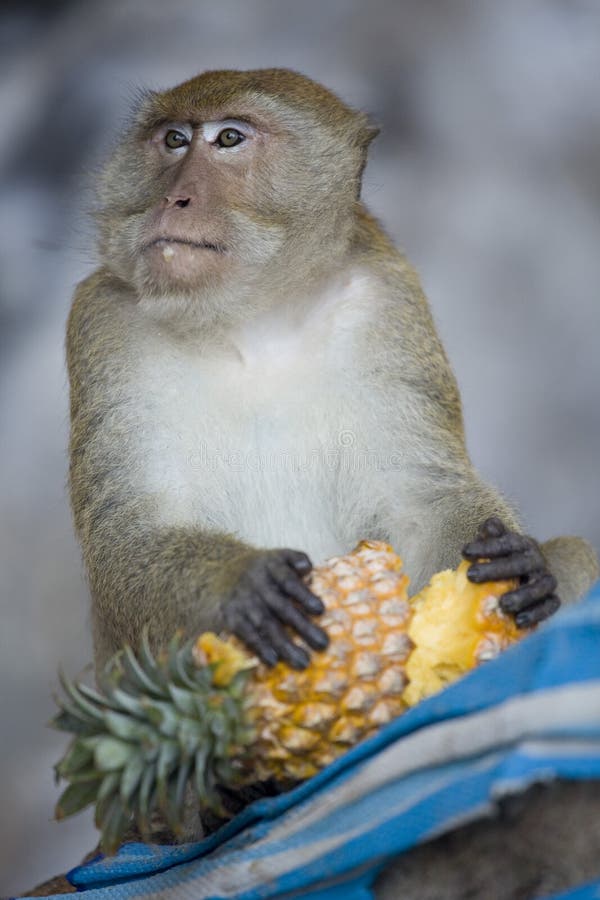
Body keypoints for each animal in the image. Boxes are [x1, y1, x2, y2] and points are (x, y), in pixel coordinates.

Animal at [67, 67, 598, 688]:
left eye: (229, 138)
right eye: (174, 139)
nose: (174, 198)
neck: (254, 321)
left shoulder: (389, 301)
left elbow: (424, 495)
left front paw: (516, 564)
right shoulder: (103, 323)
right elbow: (128, 530)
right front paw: (243, 584)